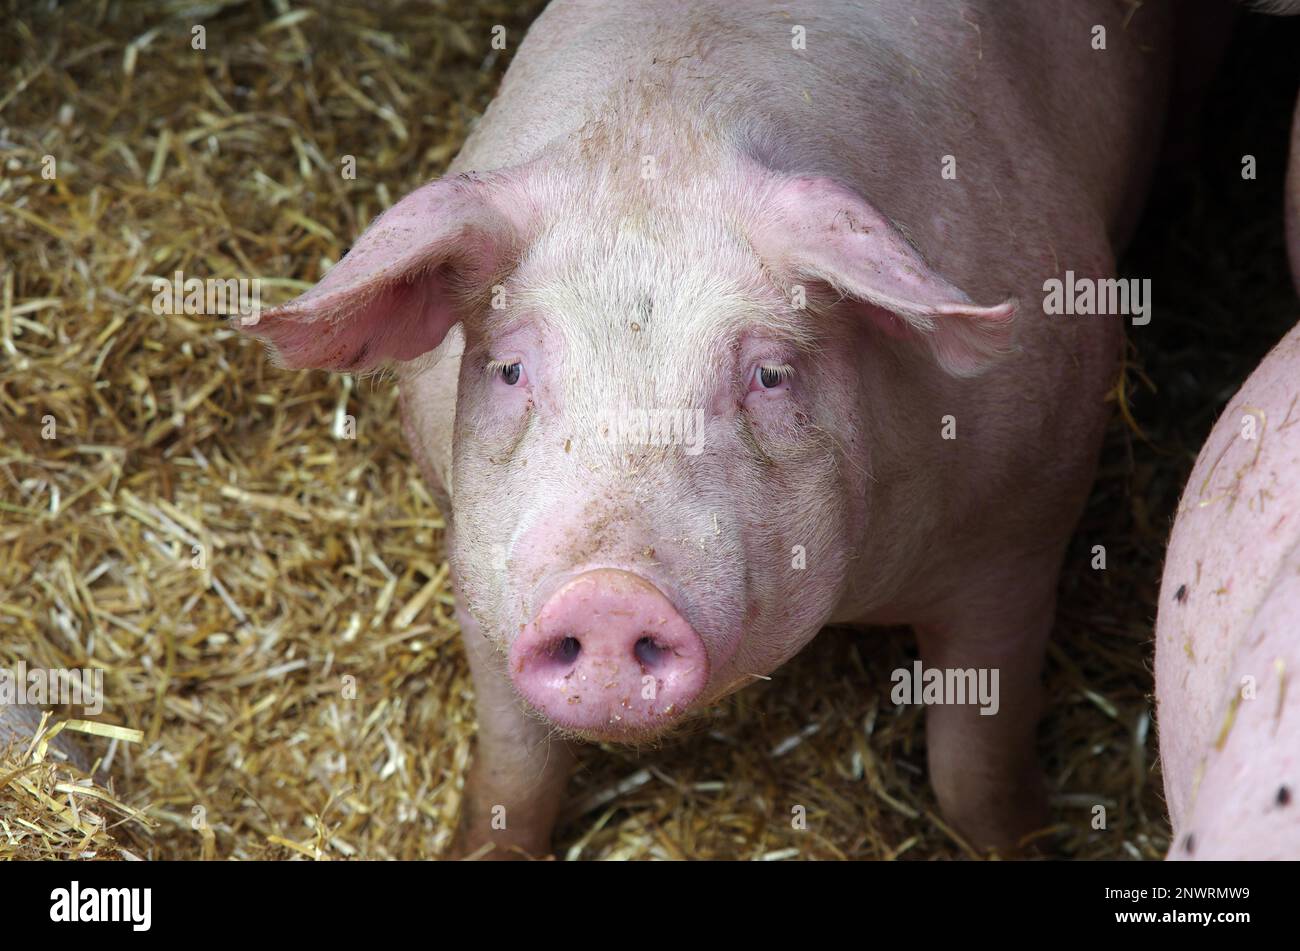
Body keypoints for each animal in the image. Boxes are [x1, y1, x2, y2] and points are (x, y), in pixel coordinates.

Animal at [240, 0, 1176, 856]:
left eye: (769, 374)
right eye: (508, 368)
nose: (609, 590)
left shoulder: (1021, 536)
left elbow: (975, 775)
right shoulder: (477, 557)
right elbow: (512, 767)